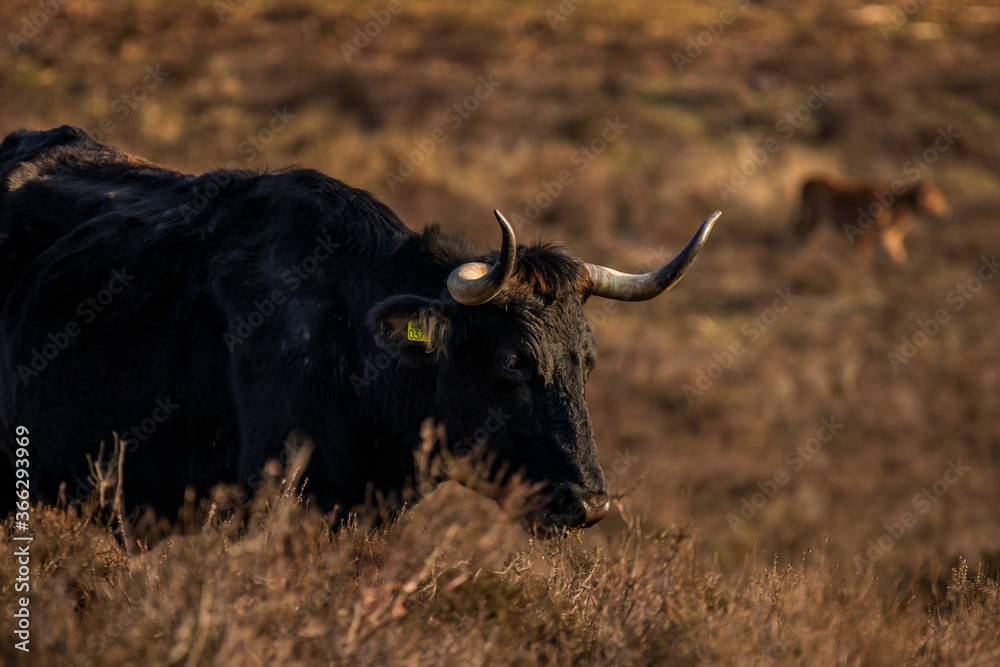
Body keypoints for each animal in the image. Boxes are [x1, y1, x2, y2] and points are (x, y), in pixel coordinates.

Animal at [791, 175, 950, 263]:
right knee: (805, 235)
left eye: (940, 197)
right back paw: (805, 257)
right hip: (819, 219)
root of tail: (809, 180)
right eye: (936, 199)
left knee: (805, 235)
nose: (945, 210)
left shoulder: (888, 235)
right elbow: (863, 254)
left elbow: (898, 254)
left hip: (820, 223)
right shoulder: (865, 230)